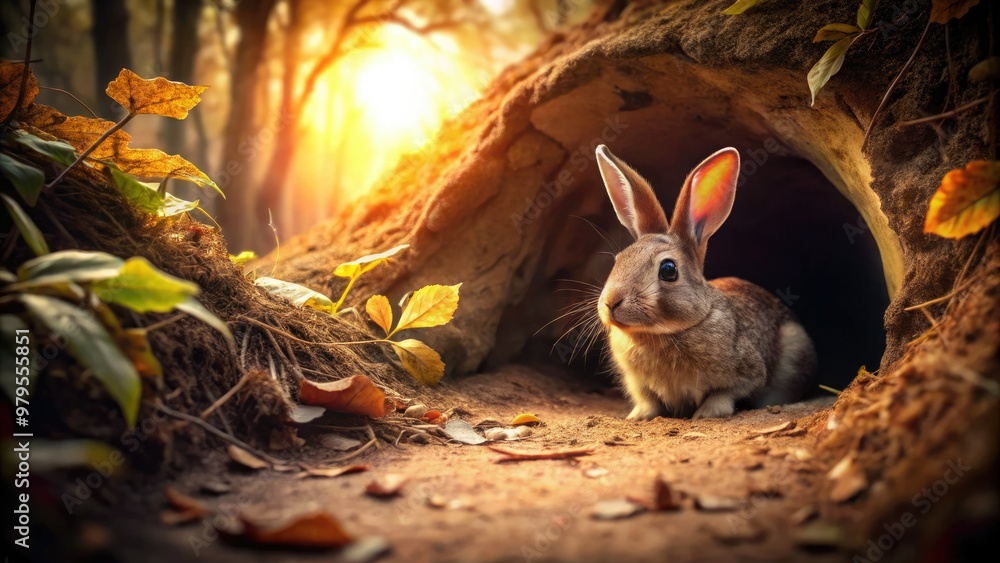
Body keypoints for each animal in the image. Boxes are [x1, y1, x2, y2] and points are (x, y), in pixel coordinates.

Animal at [594, 145, 816, 420]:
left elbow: (725, 393)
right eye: (618, 259)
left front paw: (705, 414)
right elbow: (648, 401)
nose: (611, 302)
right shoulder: (637, 383)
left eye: (668, 270)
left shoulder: (748, 372)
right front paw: (638, 416)